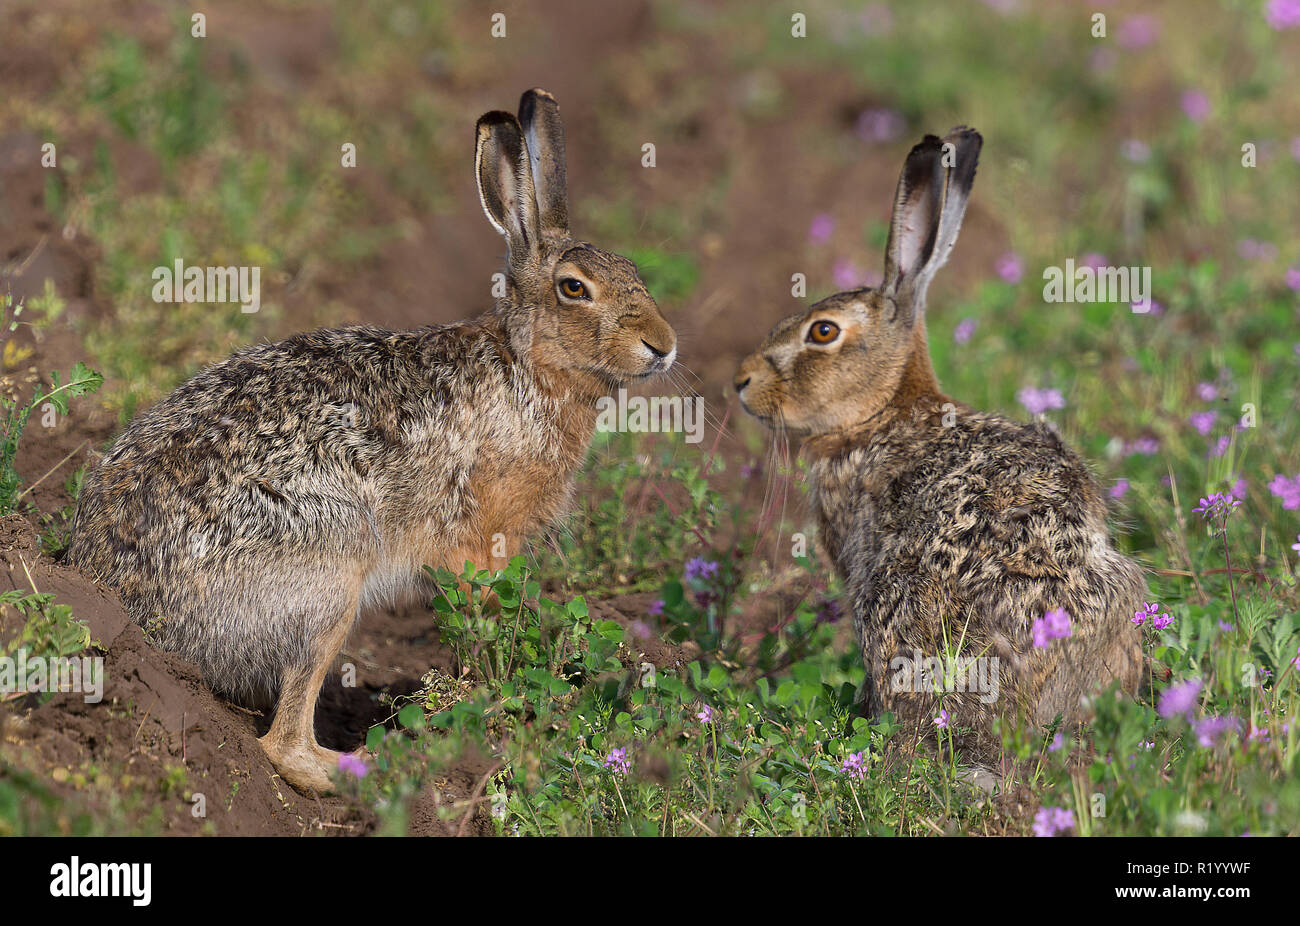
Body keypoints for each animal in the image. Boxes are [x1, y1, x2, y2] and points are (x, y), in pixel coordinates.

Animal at [67, 89, 677, 793]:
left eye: (633, 270)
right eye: (575, 288)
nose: (663, 345)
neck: (528, 366)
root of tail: (130, 604)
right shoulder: (477, 539)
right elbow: (477, 623)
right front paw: (486, 705)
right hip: (329, 579)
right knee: (283, 742)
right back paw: (362, 773)